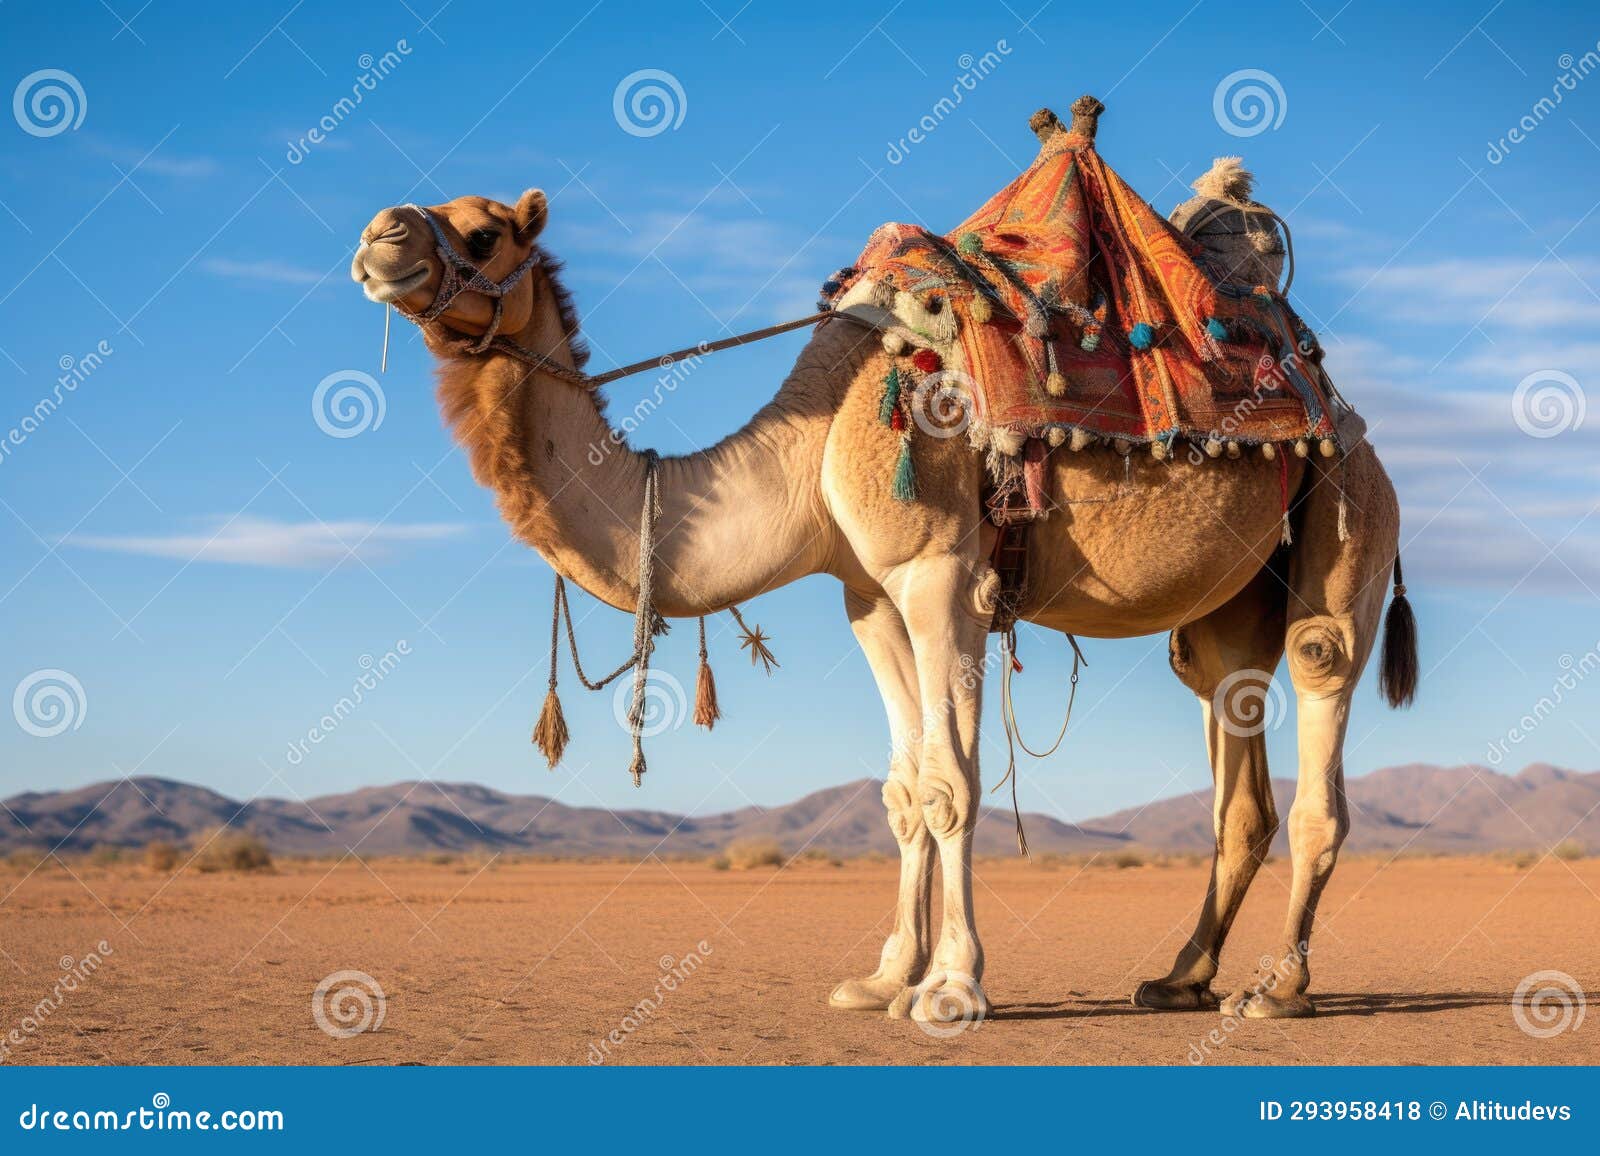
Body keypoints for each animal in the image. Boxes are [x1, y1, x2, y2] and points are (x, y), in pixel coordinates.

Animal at [348, 152, 1415, 1025]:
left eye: (485, 232)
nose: (379, 236)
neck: (815, 441)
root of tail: (1341, 405)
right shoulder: (869, 597)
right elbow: (905, 790)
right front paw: (884, 978)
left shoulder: (938, 574)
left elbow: (952, 784)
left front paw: (951, 989)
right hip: (1226, 614)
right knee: (1232, 754)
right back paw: (1181, 977)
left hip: (1348, 516)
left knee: (1321, 695)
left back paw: (1277, 987)